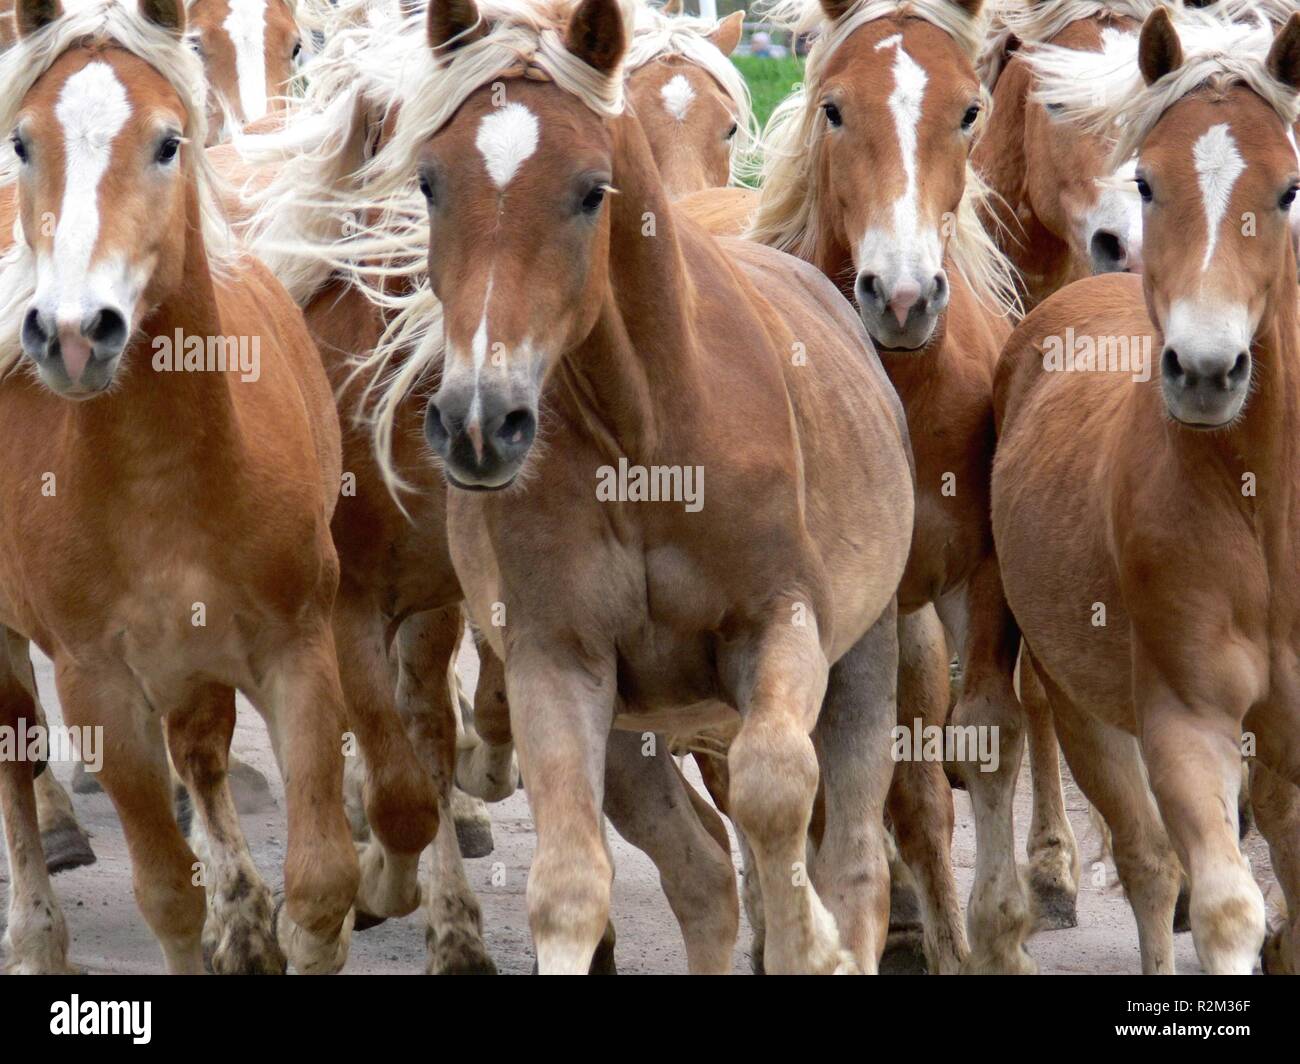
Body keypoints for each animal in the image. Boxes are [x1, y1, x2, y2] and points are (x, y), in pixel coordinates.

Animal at [0, 0, 362, 974]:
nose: (73, 333)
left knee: (199, 756)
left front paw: (262, 920)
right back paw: (37, 928)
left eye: (167, 142)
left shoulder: (298, 654)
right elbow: (166, 894)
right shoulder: (100, 689)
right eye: (22, 141)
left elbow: (321, 888)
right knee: (14, 755)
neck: (164, 473)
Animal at [992, 6, 1300, 974]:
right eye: (1148, 180)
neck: (1258, 509)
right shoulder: (1186, 722)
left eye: (1289, 189)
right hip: (1080, 701)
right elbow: (1226, 905)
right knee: (1149, 862)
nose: (1205, 368)